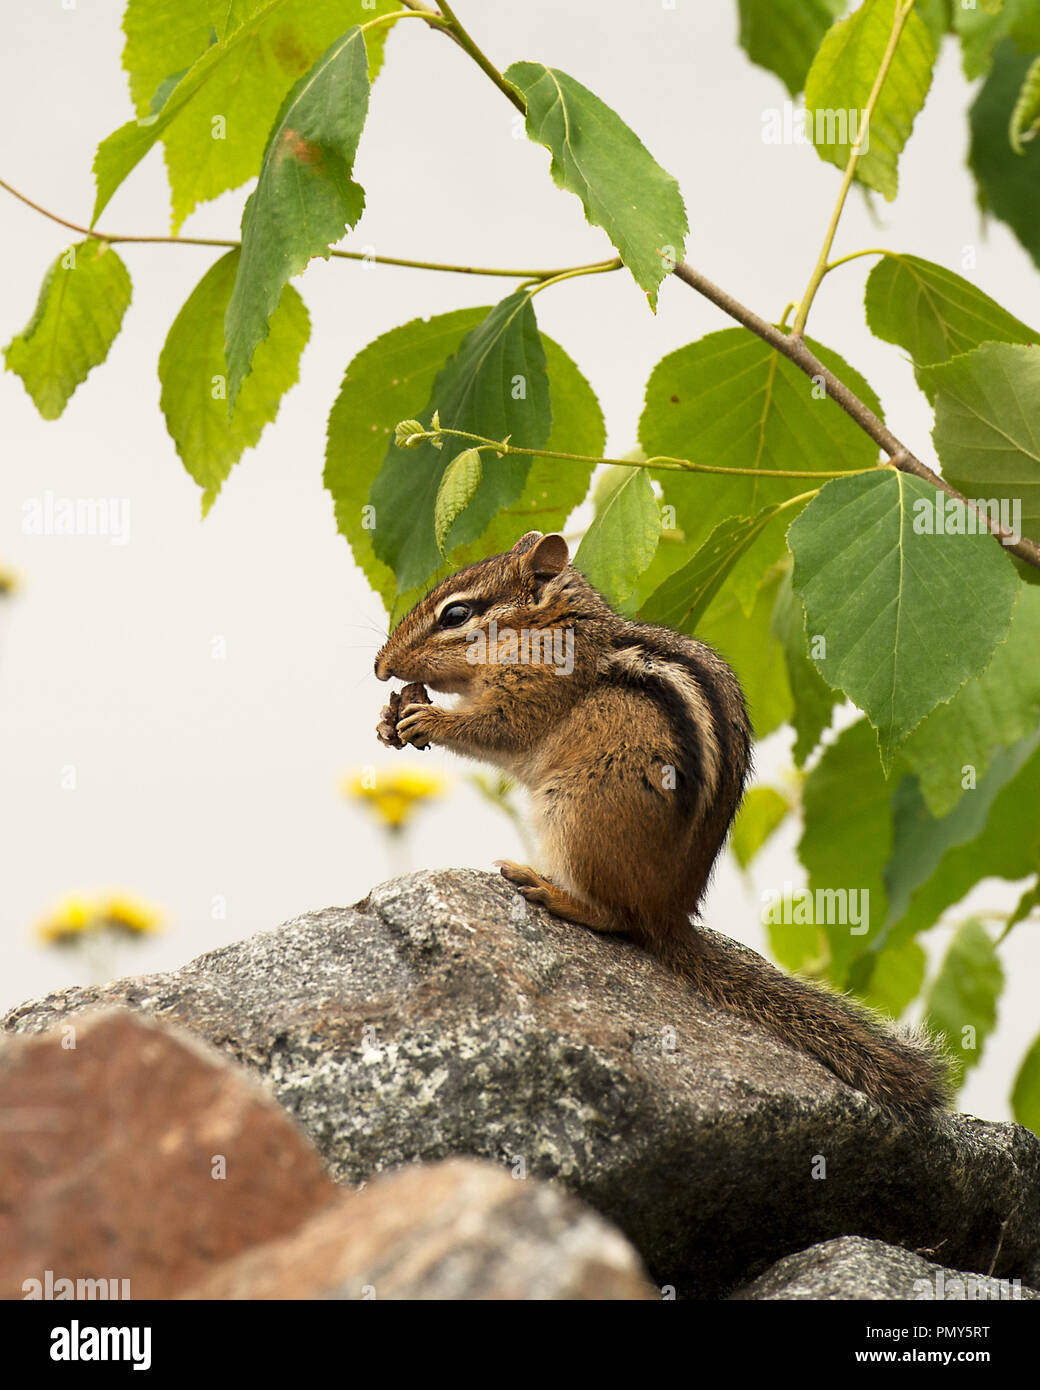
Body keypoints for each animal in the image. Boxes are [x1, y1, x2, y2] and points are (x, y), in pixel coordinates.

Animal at [374, 531, 949, 1118]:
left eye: (456, 614)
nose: (381, 667)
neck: (552, 629)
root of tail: (670, 912)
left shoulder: (535, 692)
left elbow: (498, 729)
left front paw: (427, 717)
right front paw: (390, 718)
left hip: (574, 812)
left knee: (619, 919)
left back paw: (550, 891)